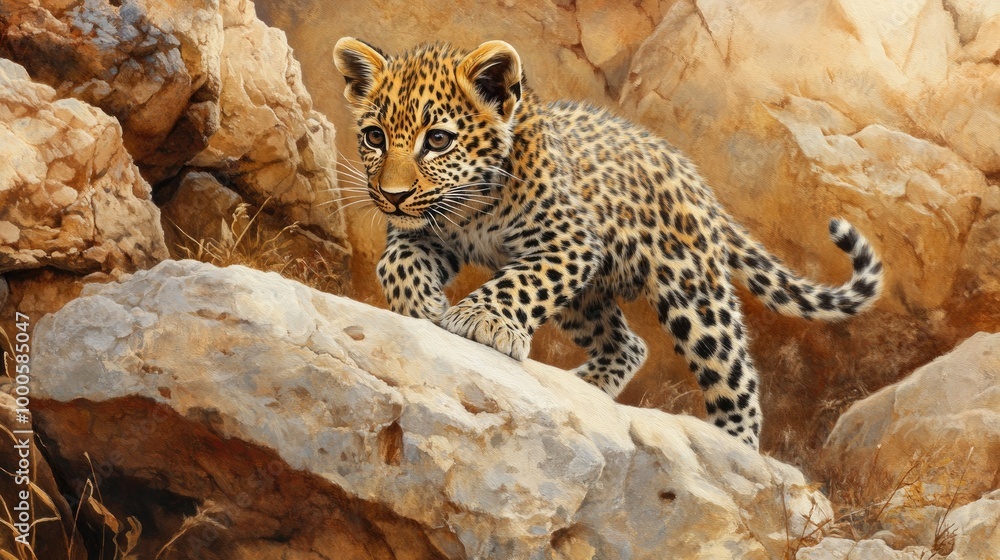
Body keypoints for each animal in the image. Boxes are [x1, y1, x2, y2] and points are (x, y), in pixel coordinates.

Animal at [333, 38, 884, 449]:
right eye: (375, 137)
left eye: (439, 140)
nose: (392, 195)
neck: (472, 206)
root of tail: (696, 181)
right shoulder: (425, 234)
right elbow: (395, 262)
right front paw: (421, 305)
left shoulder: (570, 242)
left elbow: (519, 283)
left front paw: (479, 320)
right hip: (586, 300)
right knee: (630, 342)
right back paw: (587, 387)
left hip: (693, 293)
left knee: (735, 371)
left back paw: (736, 447)